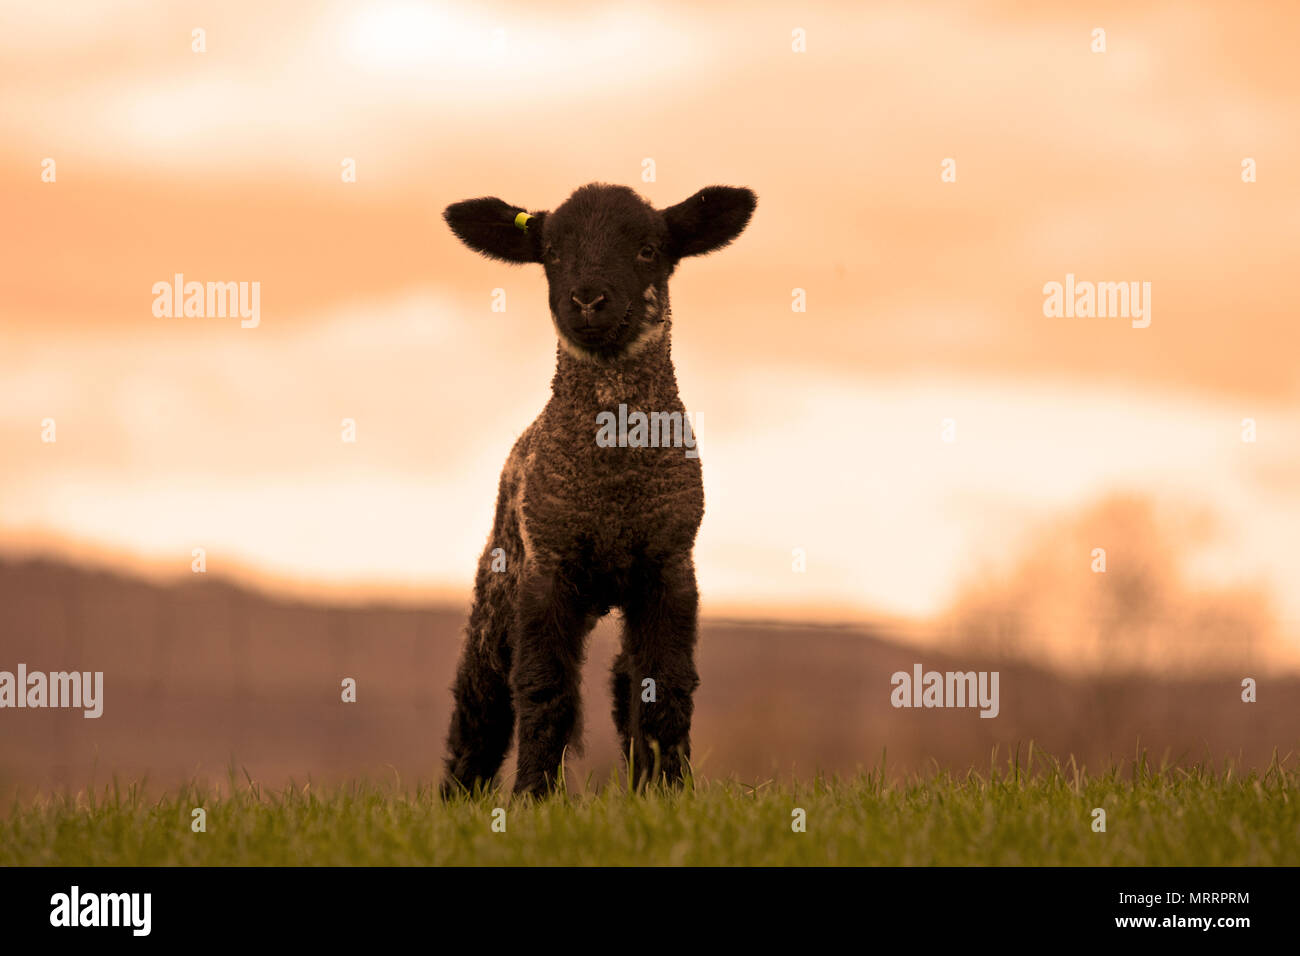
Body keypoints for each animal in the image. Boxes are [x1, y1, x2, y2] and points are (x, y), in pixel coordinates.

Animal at [440, 182, 756, 796]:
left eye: (648, 250)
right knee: (480, 697)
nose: (587, 300)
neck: (612, 483)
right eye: (552, 253)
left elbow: (665, 687)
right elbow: (542, 688)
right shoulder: (549, 568)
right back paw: (457, 797)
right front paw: (534, 796)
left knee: (624, 680)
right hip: (499, 586)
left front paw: (671, 793)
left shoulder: (669, 568)